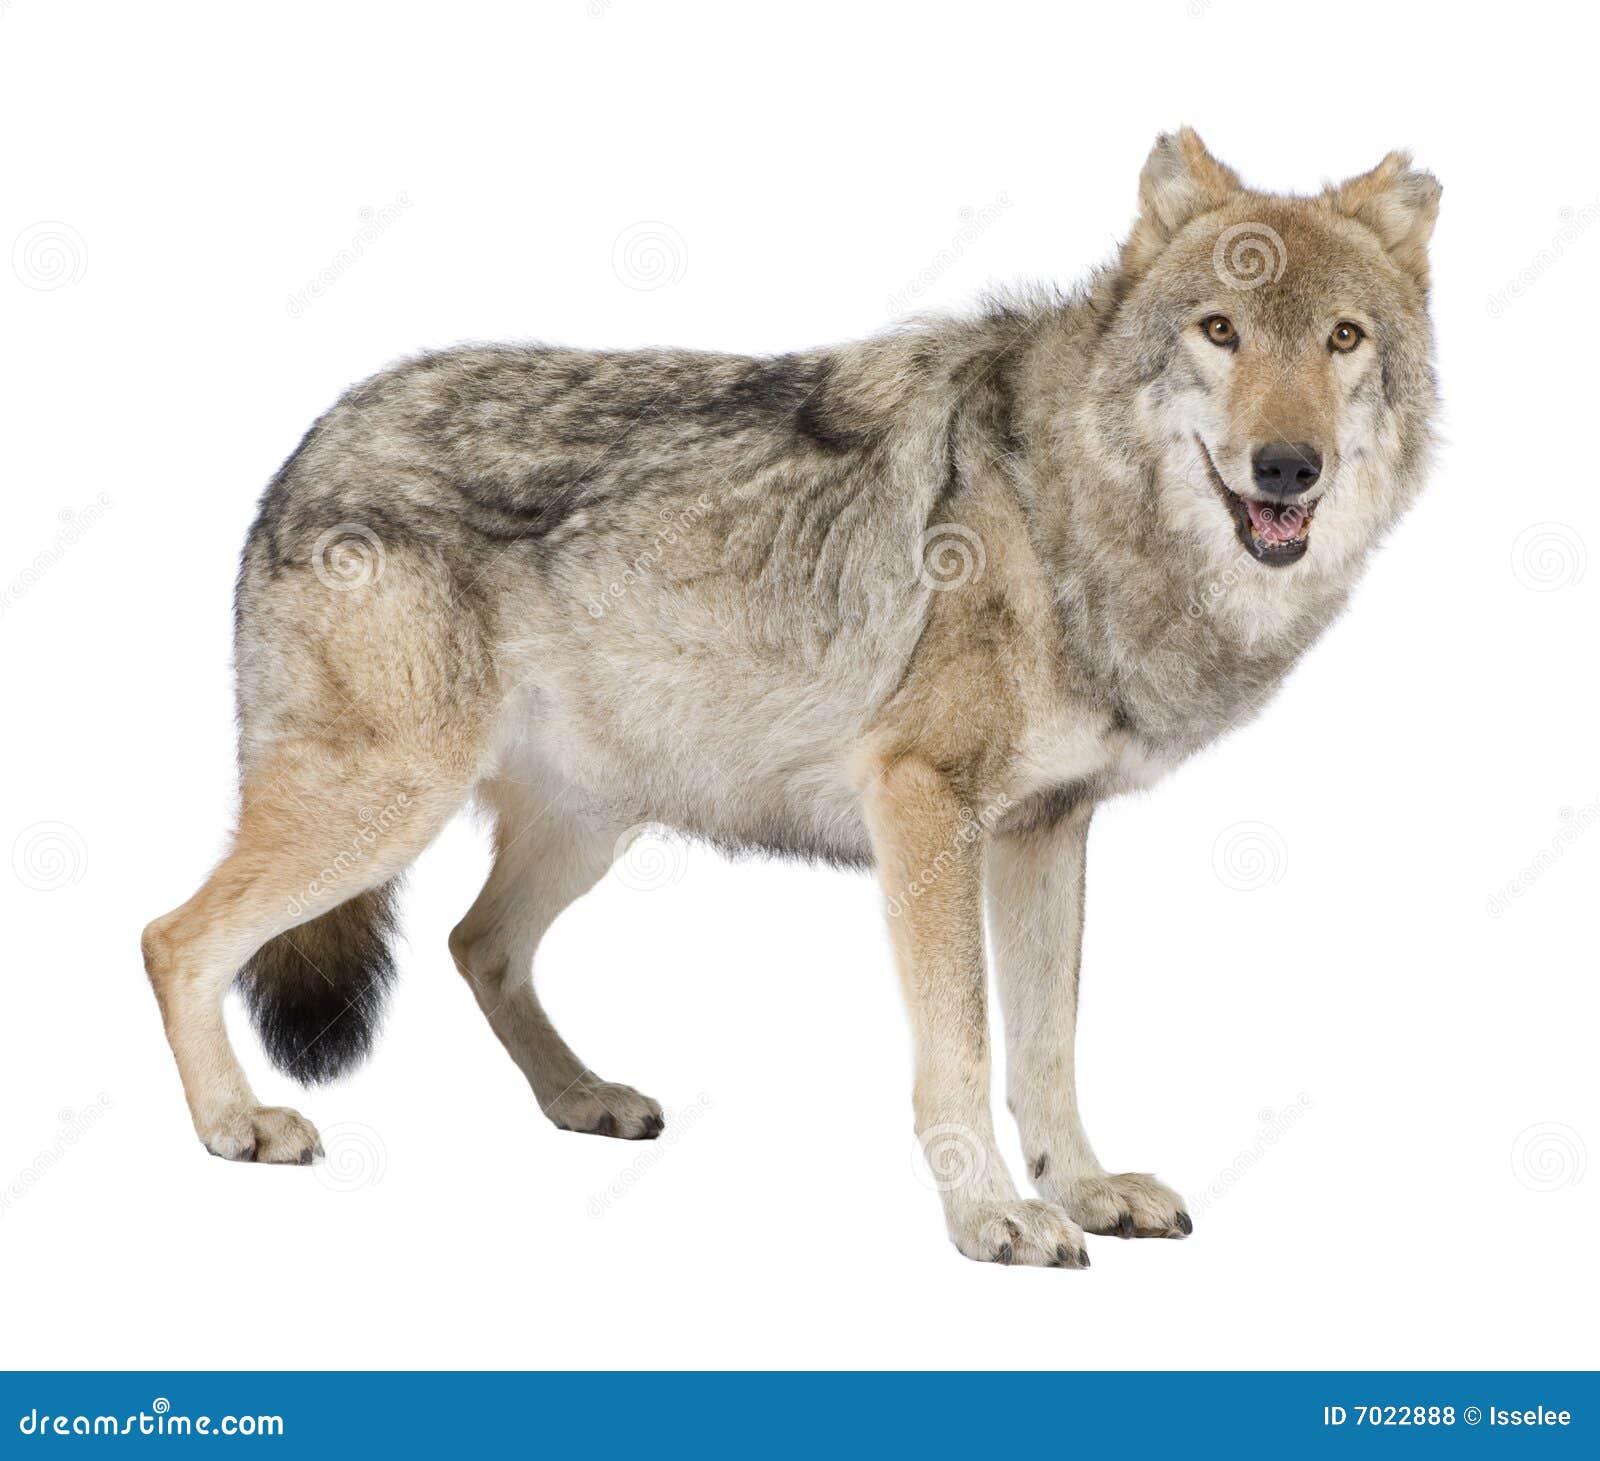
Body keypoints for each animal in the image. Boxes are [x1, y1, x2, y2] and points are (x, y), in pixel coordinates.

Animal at [142, 129, 1439, 1265]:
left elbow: (1048, 1049)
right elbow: (964, 1049)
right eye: (1220, 331)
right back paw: (232, 1125)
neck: (1066, 503)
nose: (1288, 468)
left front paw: (1082, 1189)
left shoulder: (1045, 829)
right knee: (175, 938)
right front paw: (991, 1219)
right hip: (385, 808)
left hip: (584, 829)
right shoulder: (923, 805)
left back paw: (583, 1098)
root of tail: (311, 439)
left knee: (475, 944)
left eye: (1341, 339)